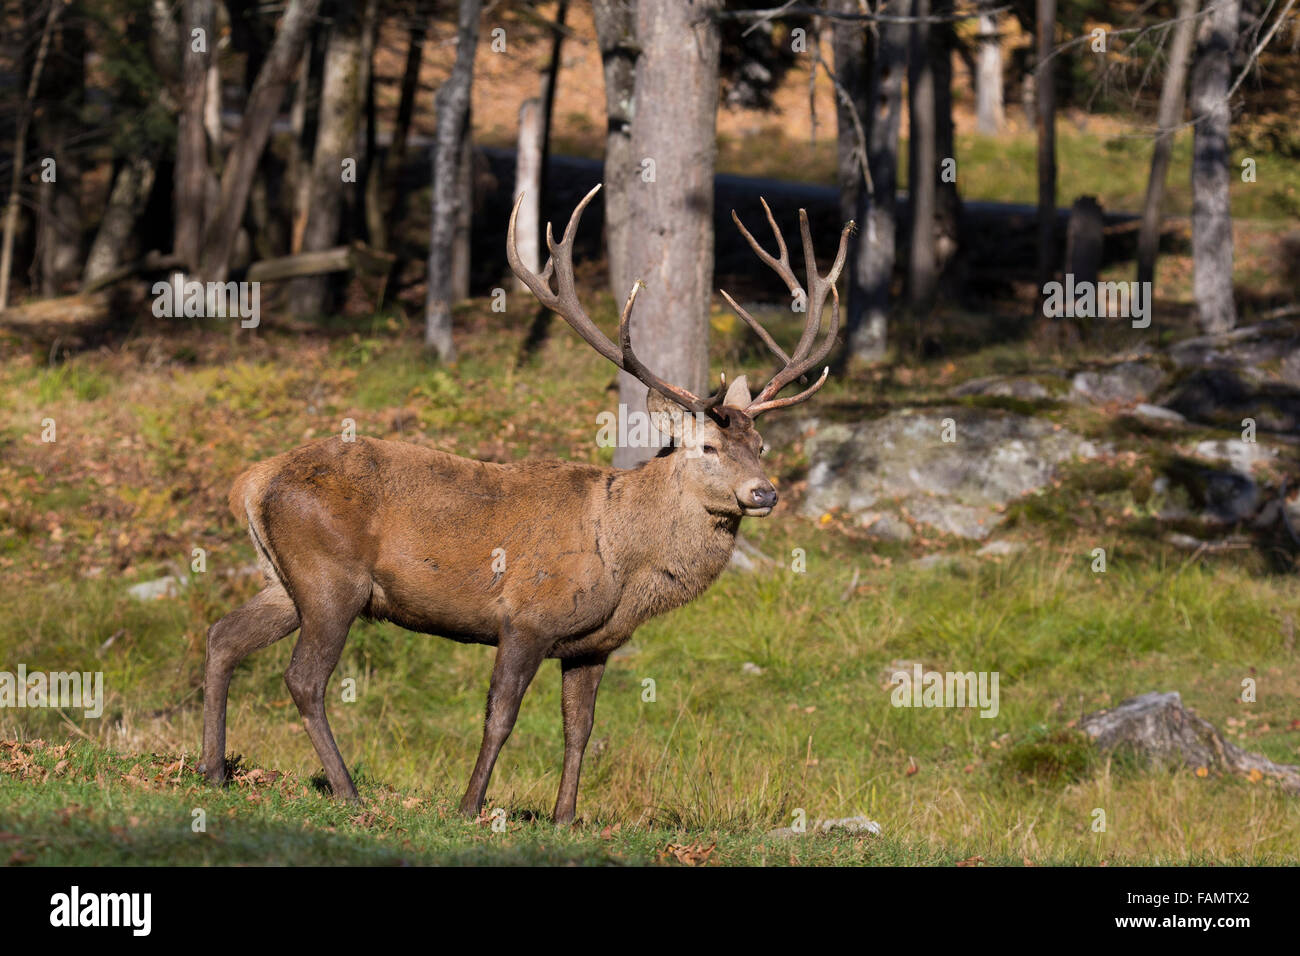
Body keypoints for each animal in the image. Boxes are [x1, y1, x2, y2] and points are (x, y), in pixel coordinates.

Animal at [198, 184, 852, 824]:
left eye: (761, 446)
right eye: (709, 447)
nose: (764, 492)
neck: (622, 558)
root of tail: (252, 480)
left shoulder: (594, 646)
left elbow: (580, 730)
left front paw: (564, 818)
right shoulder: (527, 617)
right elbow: (501, 717)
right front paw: (469, 807)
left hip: (286, 581)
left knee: (223, 635)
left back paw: (213, 770)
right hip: (333, 577)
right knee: (303, 679)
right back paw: (347, 791)